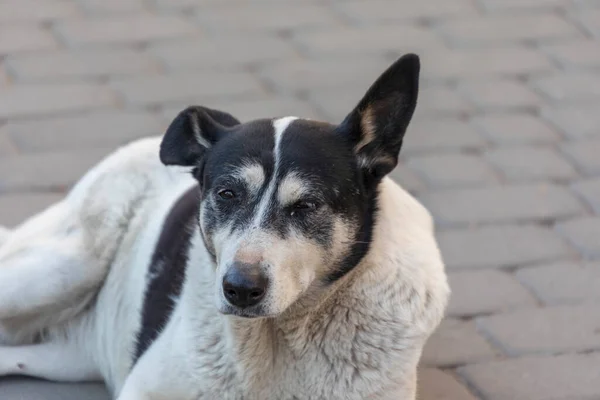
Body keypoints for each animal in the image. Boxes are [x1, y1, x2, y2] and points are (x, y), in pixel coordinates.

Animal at [0, 54, 450, 400]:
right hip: (63, 269)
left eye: (306, 205)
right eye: (227, 193)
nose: (241, 289)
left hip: (66, 356)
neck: (282, 337)